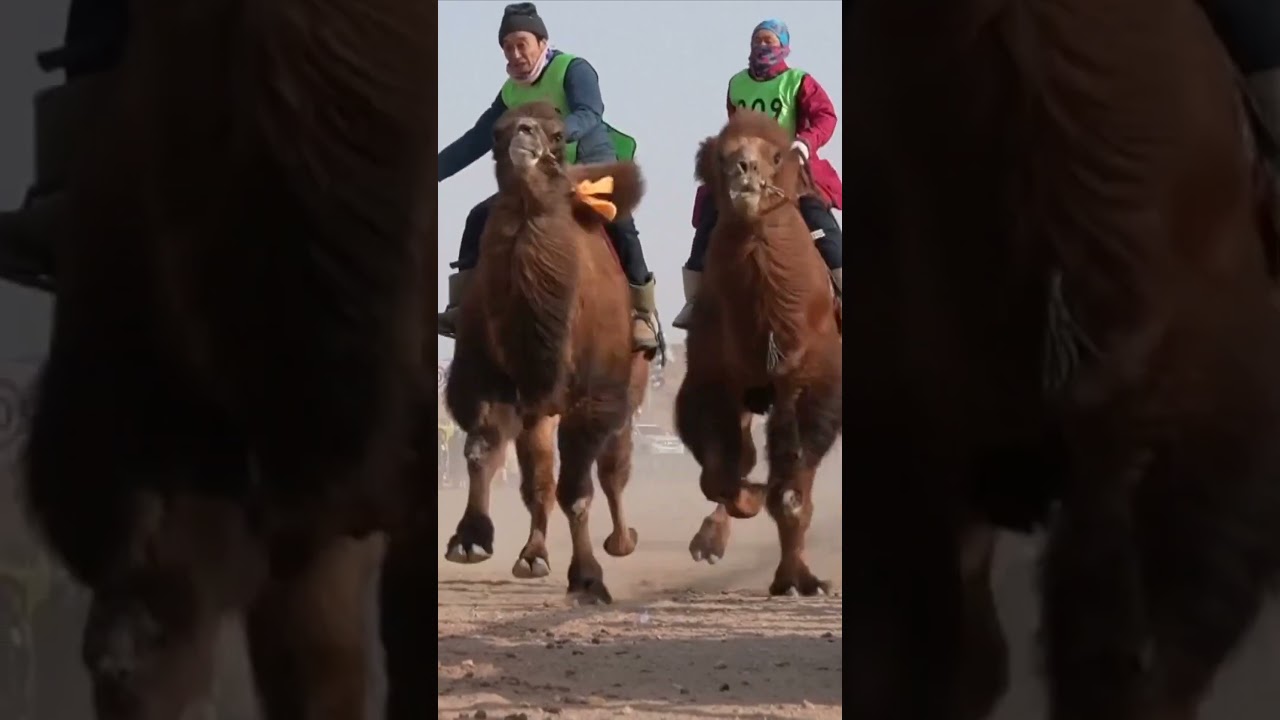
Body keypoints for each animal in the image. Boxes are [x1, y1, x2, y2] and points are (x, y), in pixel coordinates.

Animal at [439, 101, 651, 606]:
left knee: (613, 469)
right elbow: (483, 451)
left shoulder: (595, 396)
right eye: (494, 133)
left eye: (558, 135)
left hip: (628, 389)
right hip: (541, 409)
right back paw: (533, 555)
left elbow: (577, 489)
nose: (523, 133)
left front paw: (589, 579)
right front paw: (470, 540)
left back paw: (622, 541)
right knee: (540, 478)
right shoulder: (491, 378)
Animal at [674, 110, 844, 597]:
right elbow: (720, 474)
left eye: (776, 156)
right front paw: (745, 499)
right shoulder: (712, 378)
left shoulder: (812, 381)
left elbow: (791, 493)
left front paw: (798, 581)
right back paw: (710, 539)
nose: (744, 170)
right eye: (721, 156)